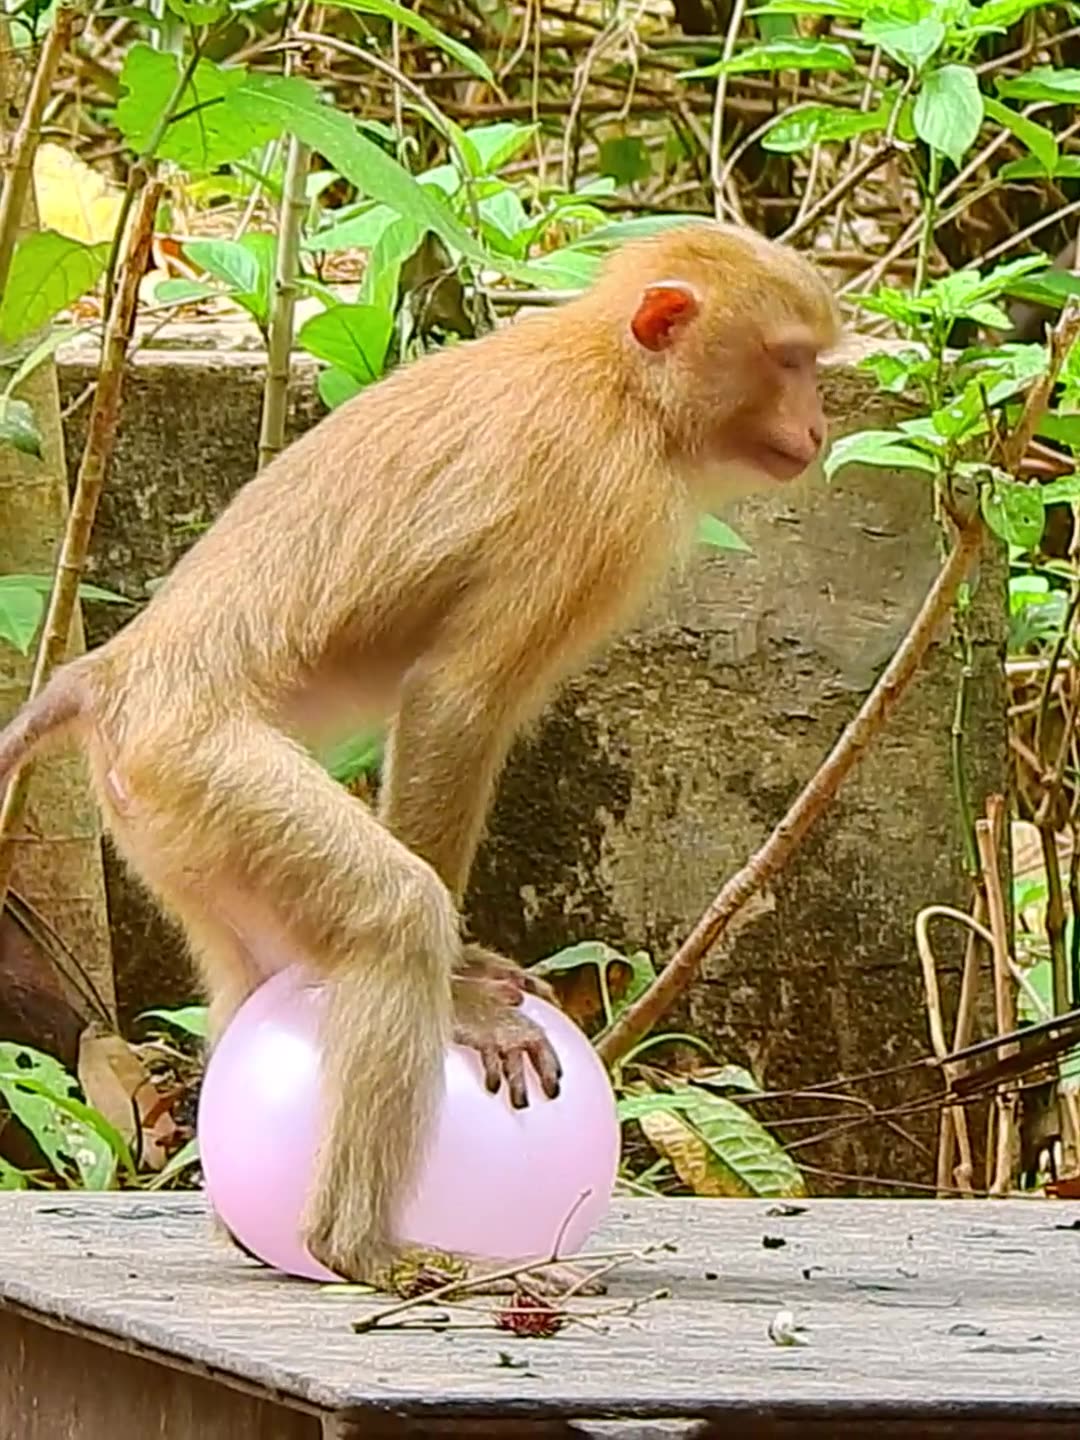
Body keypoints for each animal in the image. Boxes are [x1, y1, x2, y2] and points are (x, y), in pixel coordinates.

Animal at [0, 221, 839, 1290]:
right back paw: (358, 1248)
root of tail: (112, 673)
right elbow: (456, 703)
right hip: (200, 764)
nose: (817, 426)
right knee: (391, 914)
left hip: (169, 824)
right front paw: (462, 997)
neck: (619, 381)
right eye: (790, 360)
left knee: (249, 974)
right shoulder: (602, 500)